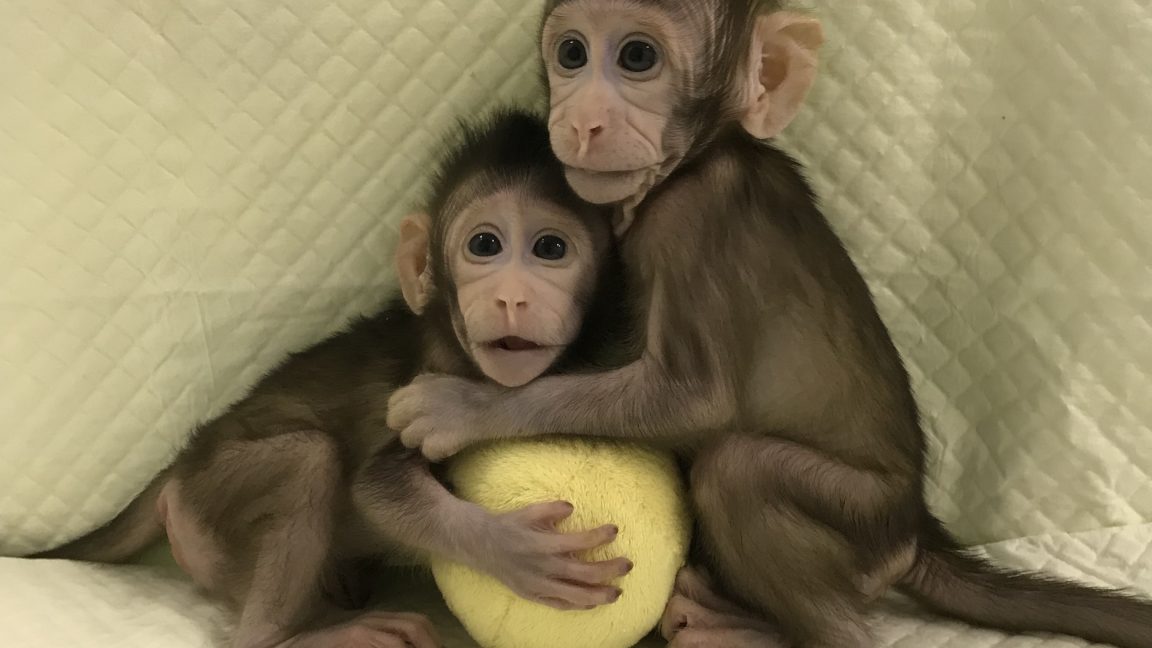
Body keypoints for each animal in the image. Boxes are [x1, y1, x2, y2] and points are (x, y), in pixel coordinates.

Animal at [32, 108, 636, 648]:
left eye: (550, 248)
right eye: (484, 245)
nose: (512, 297)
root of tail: (182, 465)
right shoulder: (427, 381)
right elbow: (377, 487)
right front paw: (511, 549)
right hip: (210, 495)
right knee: (309, 458)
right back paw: (287, 637)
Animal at [385, 3, 1152, 648]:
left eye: (637, 57)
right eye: (571, 52)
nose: (581, 121)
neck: (699, 157)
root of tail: (914, 530)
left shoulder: (691, 220)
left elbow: (695, 399)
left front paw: (466, 406)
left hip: (859, 518)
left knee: (739, 471)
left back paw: (757, 629)